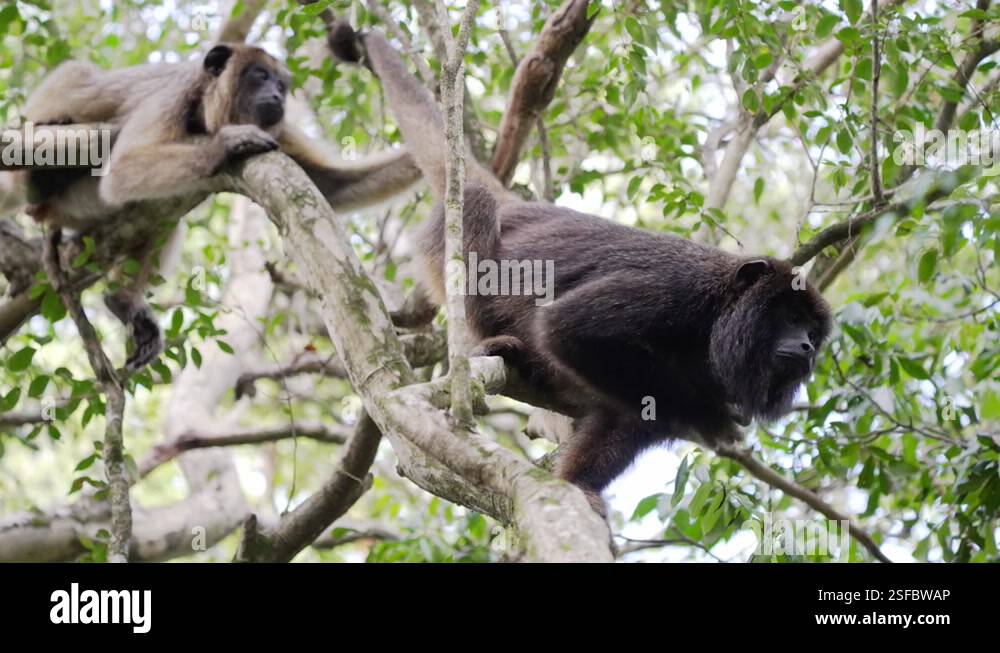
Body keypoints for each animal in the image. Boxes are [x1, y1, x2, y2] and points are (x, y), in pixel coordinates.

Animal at [1, 42, 422, 370]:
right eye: (259, 76)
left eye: (281, 84)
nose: (278, 96)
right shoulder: (175, 94)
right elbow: (122, 170)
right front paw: (227, 143)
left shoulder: (279, 128)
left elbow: (333, 186)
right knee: (80, 78)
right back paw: (42, 171)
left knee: (160, 217)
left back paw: (122, 299)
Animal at [330, 25, 833, 515]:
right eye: (790, 317)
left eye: (812, 331)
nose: (808, 347)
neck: (720, 317)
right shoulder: (681, 292)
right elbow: (570, 326)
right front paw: (709, 416)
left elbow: (631, 417)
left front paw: (579, 486)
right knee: (476, 203)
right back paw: (502, 345)